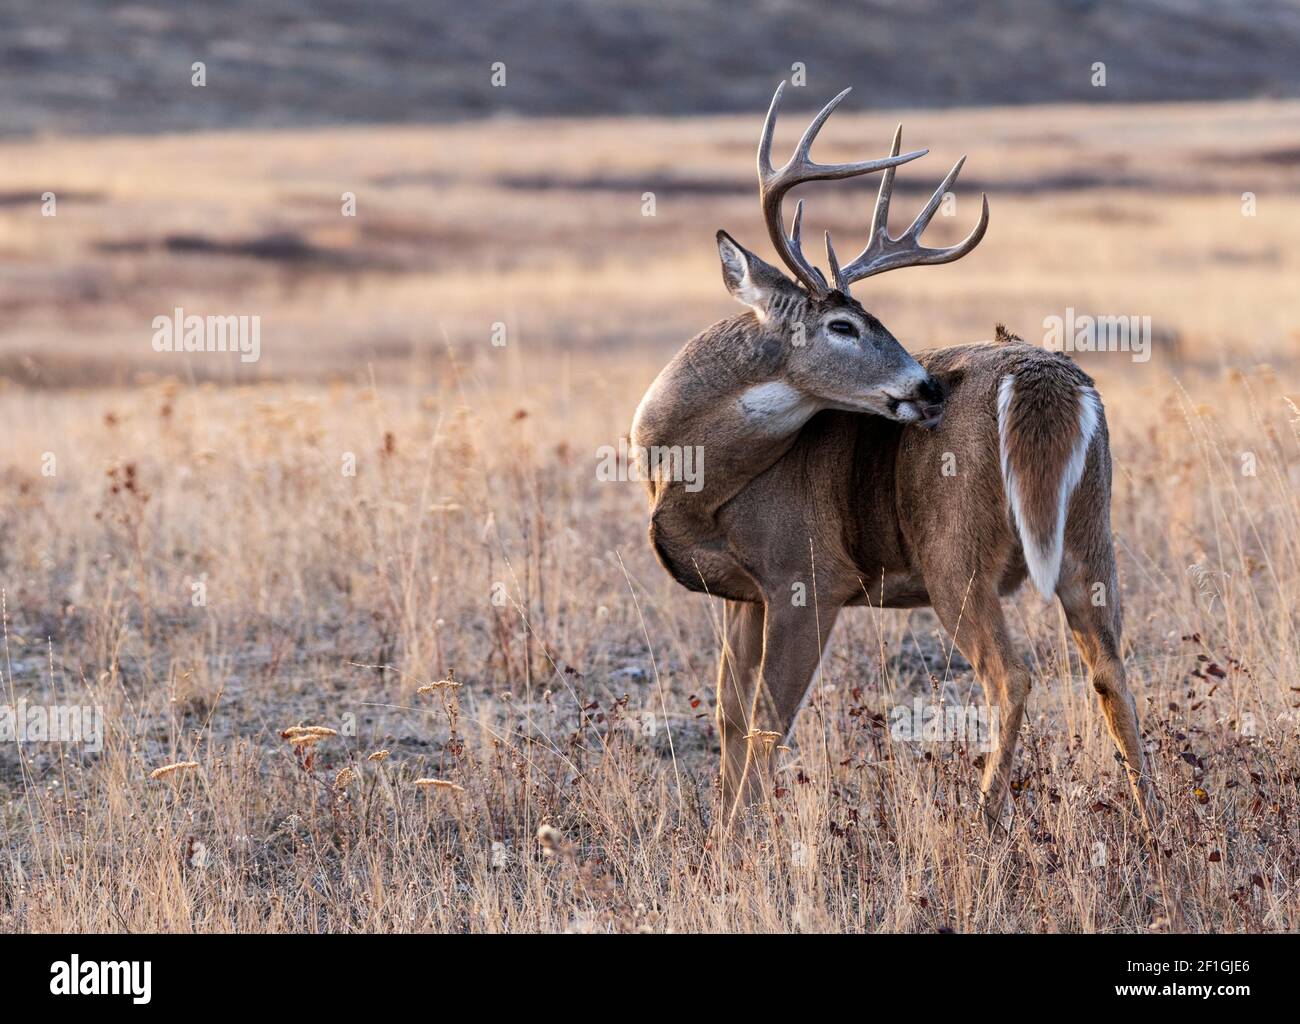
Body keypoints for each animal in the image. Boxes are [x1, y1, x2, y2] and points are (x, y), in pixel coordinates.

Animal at [631, 81, 1162, 839]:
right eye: (844, 324)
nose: (927, 386)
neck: (696, 484)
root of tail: (1040, 377)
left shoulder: (808, 573)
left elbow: (766, 722)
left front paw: (738, 840)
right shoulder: (745, 593)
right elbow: (730, 716)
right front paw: (722, 831)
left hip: (953, 551)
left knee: (1011, 674)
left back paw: (981, 818)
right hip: (1092, 532)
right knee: (1112, 670)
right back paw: (1153, 822)